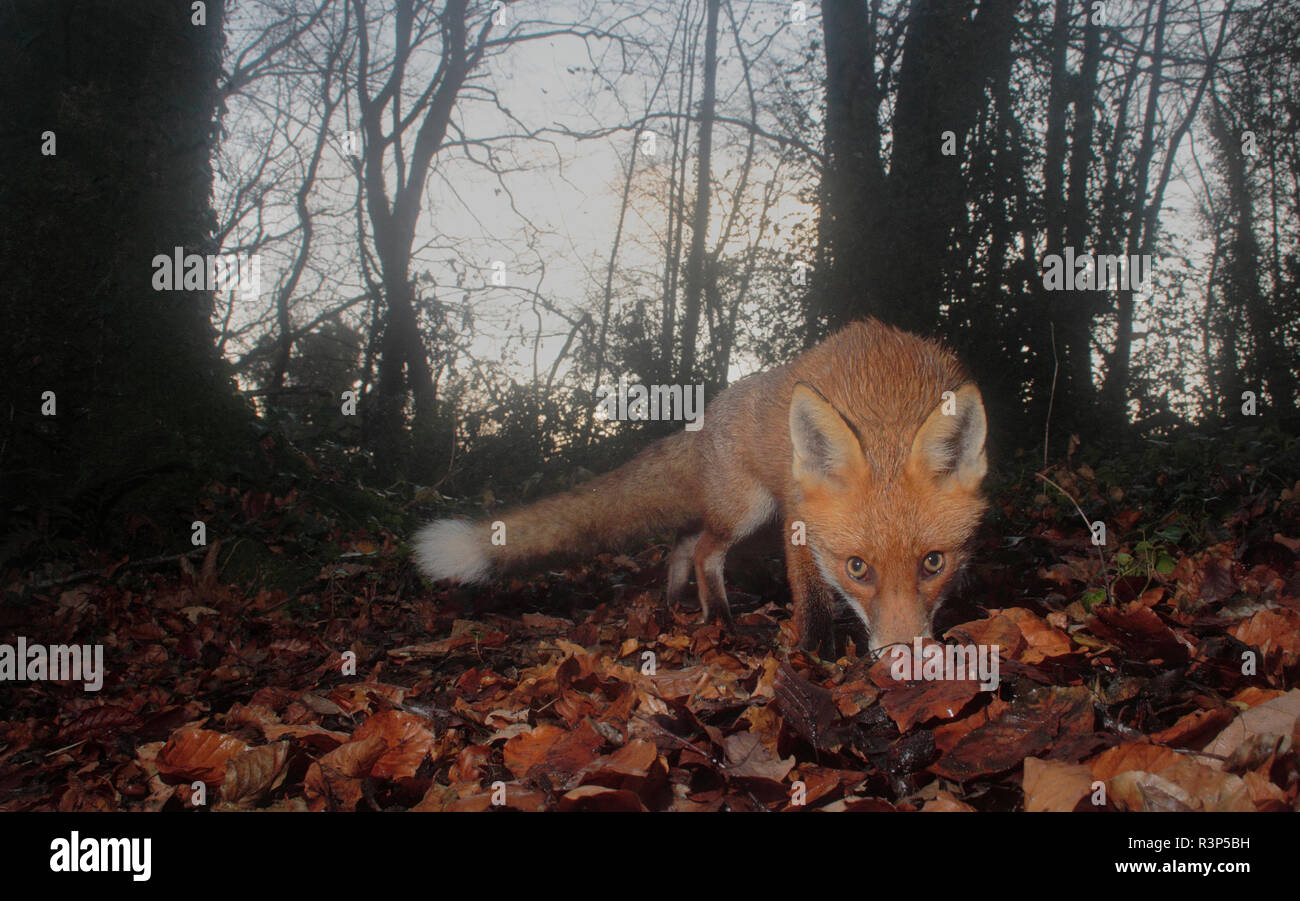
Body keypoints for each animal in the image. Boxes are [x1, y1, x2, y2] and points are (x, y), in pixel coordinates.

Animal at [413, 318, 989, 658]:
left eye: (933, 563)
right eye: (857, 569)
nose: (906, 660)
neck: (886, 397)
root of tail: (706, 415)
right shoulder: (800, 522)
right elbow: (812, 600)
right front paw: (816, 656)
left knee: (683, 541)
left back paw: (674, 601)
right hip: (752, 511)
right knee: (705, 549)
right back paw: (721, 619)